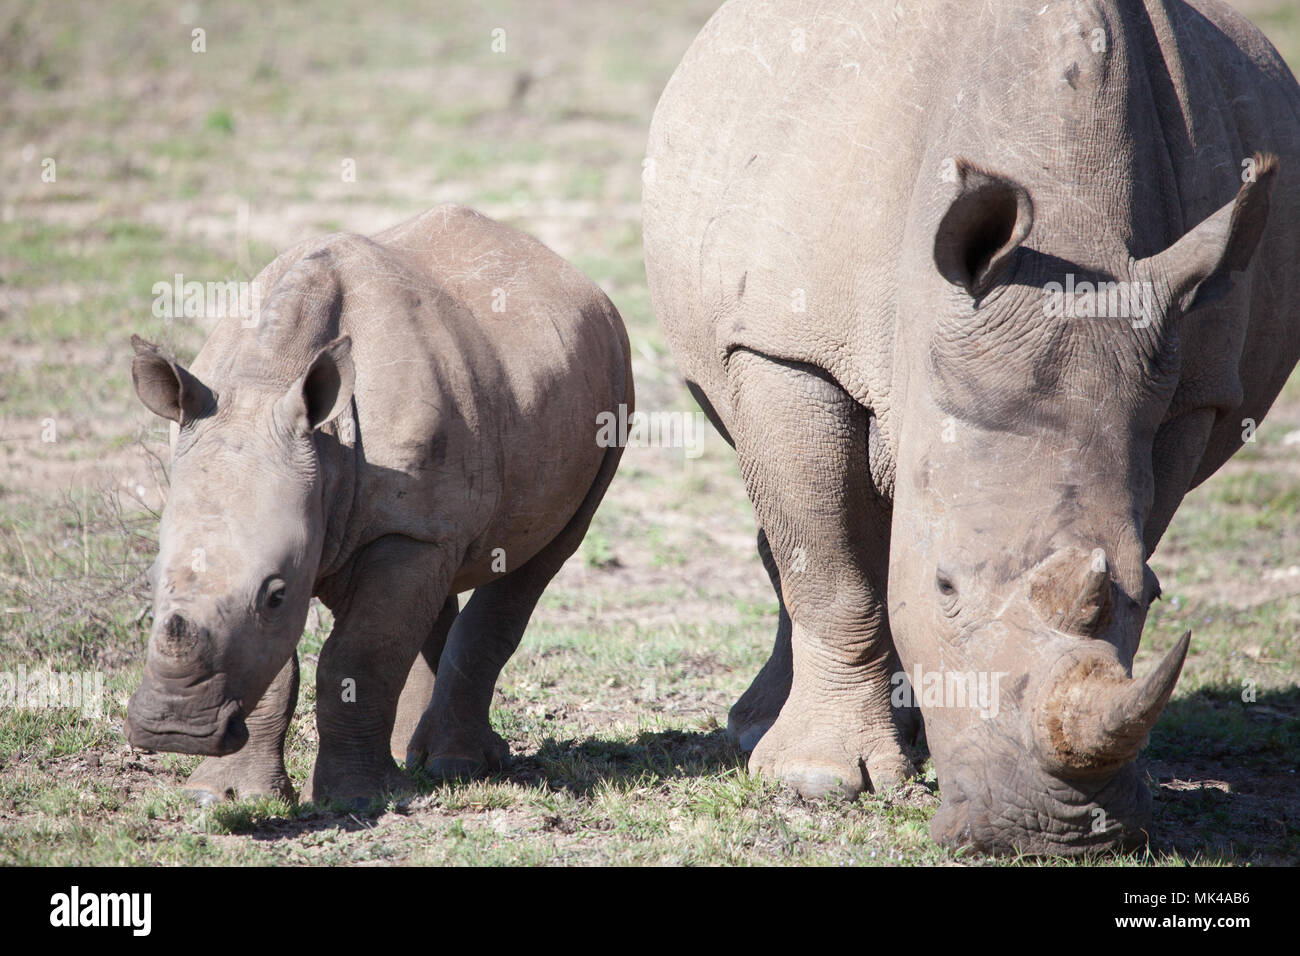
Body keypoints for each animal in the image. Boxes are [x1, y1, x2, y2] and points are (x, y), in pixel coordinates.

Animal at [126, 205, 632, 804]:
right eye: (151, 580)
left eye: (275, 594)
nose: (173, 730)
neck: (268, 383)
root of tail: (565, 269)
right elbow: (280, 663)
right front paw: (226, 796)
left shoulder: (401, 531)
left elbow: (360, 656)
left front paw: (358, 798)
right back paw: (415, 760)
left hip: (614, 382)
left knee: (542, 559)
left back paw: (454, 768)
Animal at [643, 0, 1300, 853]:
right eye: (945, 584)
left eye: (1154, 596)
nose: (1049, 832)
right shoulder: (787, 345)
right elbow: (828, 565)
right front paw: (816, 781)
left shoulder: (1192, 388)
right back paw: (764, 733)